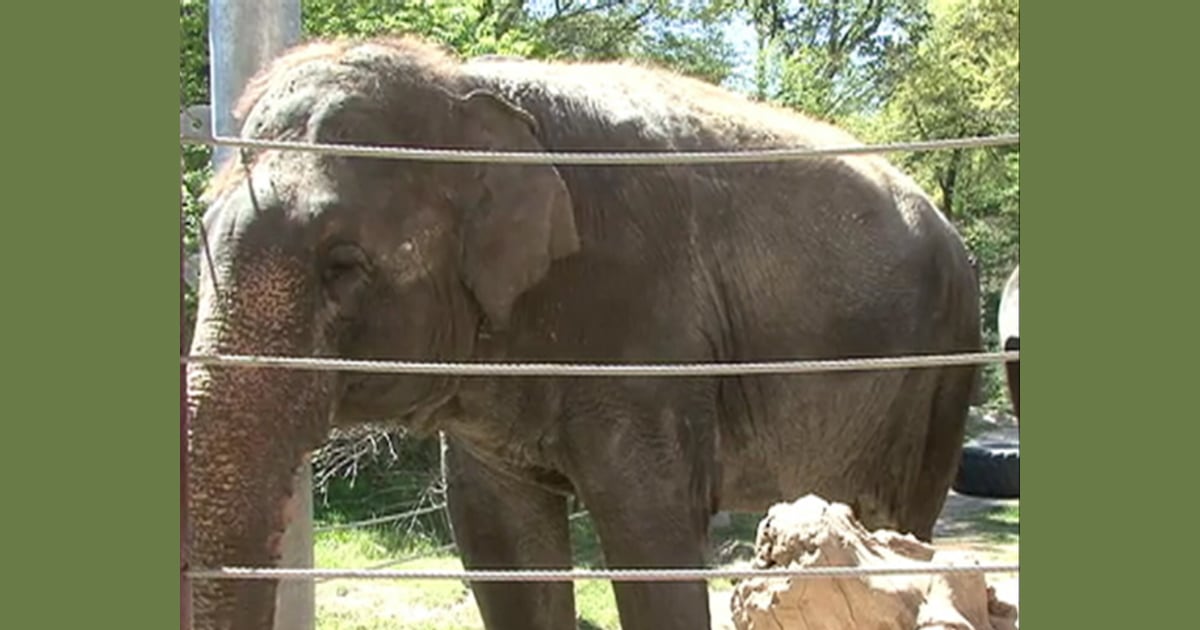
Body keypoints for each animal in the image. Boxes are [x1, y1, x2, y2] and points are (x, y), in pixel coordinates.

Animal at [186, 37, 982, 630]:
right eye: (201, 236)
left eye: (342, 265)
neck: (464, 88)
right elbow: (499, 540)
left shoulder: (646, 326)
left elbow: (650, 532)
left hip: (943, 364)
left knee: (906, 518)